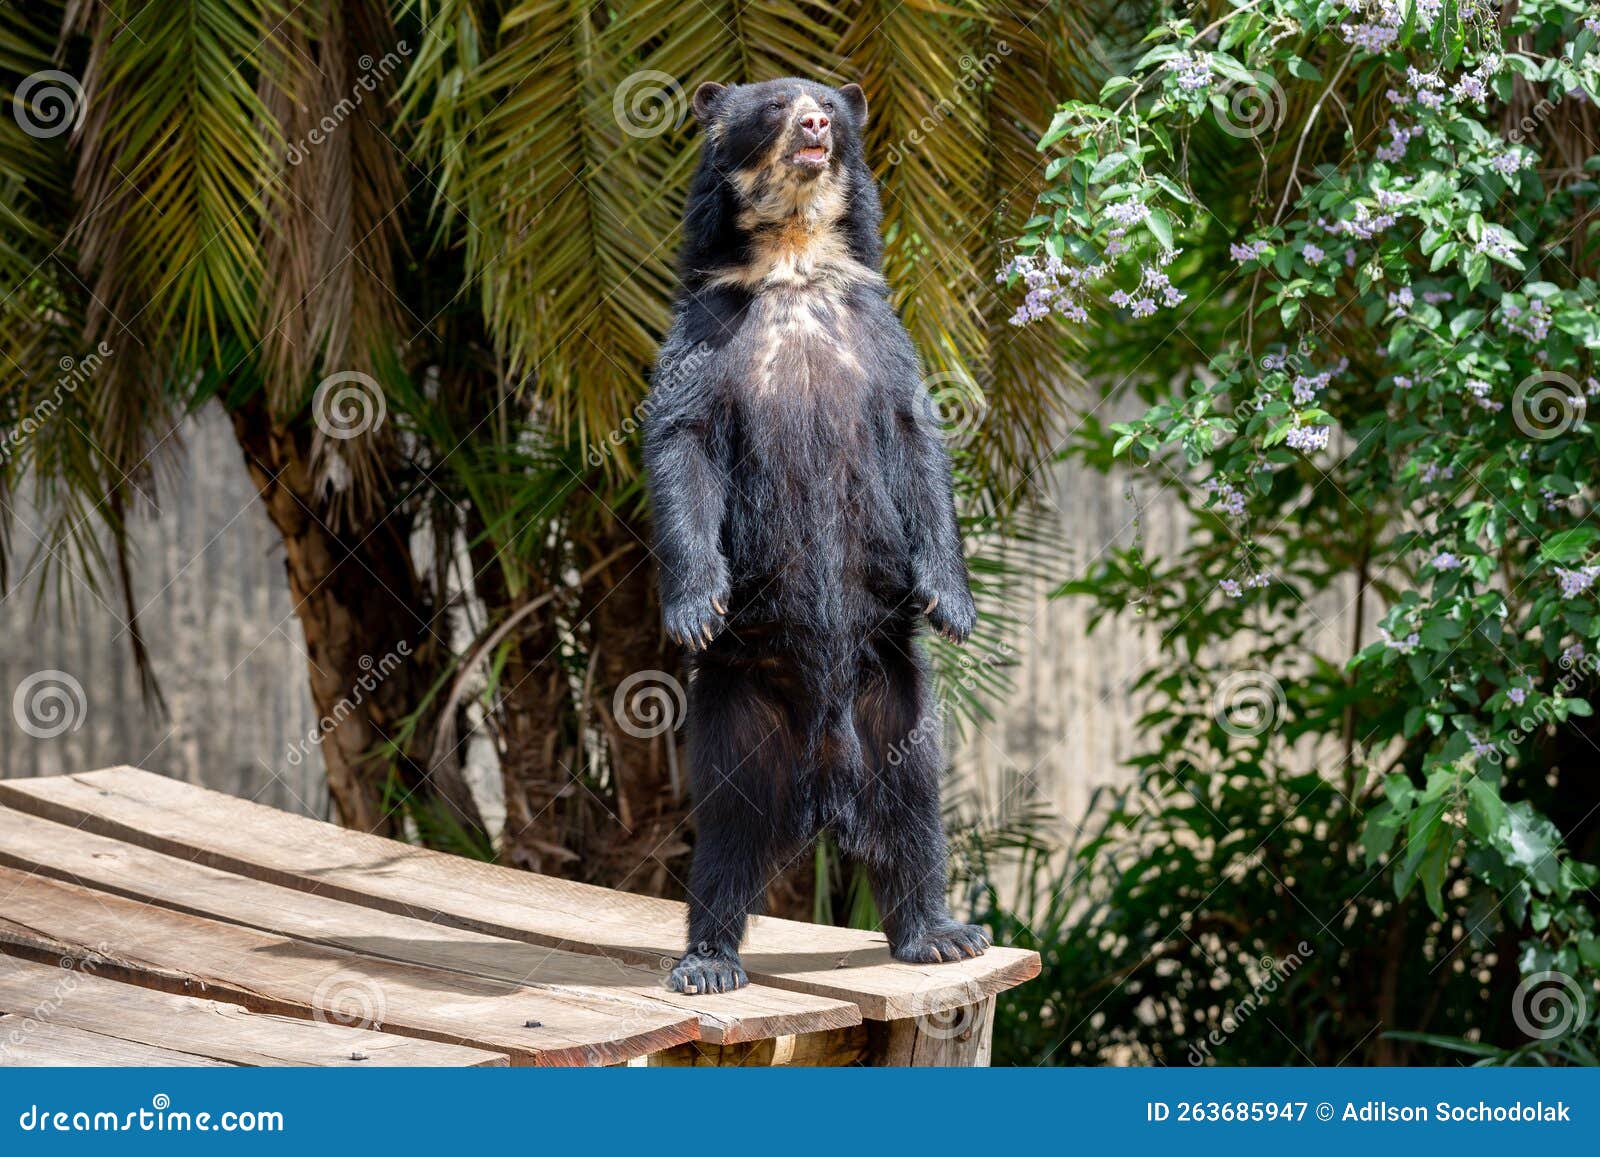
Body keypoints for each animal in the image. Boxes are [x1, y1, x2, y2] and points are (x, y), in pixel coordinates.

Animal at [643, 76, 987, 995]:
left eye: (825, 99)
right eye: (772, 104)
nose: (815, 123)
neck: (794, 261)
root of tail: (828, 789)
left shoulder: (879, 334)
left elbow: (917, 441)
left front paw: (954, 604)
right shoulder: (708, 334)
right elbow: (682, 445)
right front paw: (694, 606)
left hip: (895, 704)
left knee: (915, 817)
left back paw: (941, 932)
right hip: (739, 715)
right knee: (725, 838)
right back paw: (708, 959)